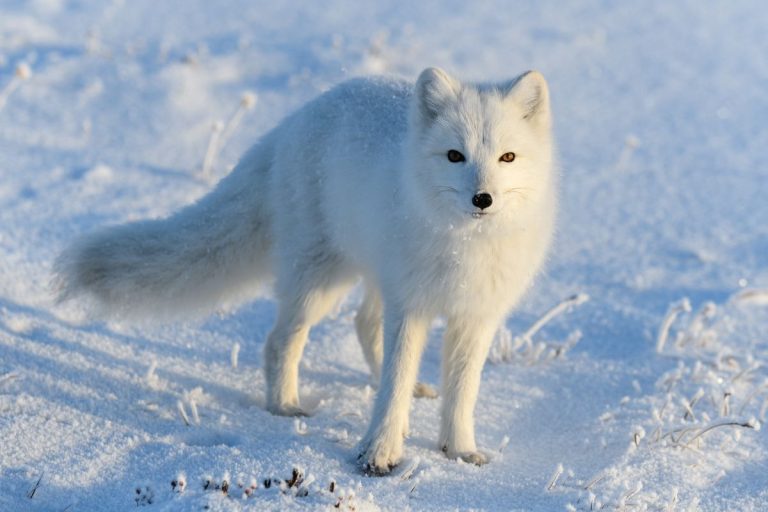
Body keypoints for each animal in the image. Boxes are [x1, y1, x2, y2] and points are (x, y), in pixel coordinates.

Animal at [55, 67, 556, 474]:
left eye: (507, 158)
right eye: (455, 156)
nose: (482, 199)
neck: (466, 248)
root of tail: (294, 120)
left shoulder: (477, 315)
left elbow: (462, 392)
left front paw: (460, 452)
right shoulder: (411, 305)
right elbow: (392, 387)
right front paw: (380, 453)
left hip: (370, 273)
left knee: (363, 323)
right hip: (320, 280)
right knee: (281, 340)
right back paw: (285, 407)